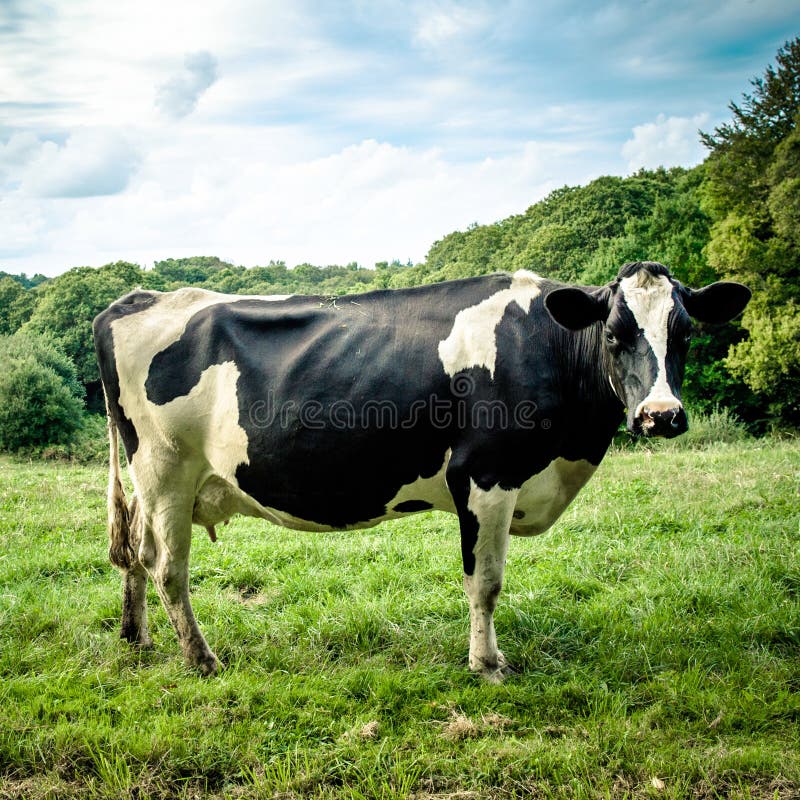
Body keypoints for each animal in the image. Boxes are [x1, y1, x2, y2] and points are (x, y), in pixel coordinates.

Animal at [93, 261, 750, 681]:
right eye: (614, 334)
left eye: (685, 333)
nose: (661, 415)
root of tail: (137, 299)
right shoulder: (486, 477)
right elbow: (485, 583)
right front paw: (487, 666)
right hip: (165, 468)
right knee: (167, 567)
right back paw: (202, 660)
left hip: (155, 480)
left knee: (135, 553)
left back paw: (137, 638)